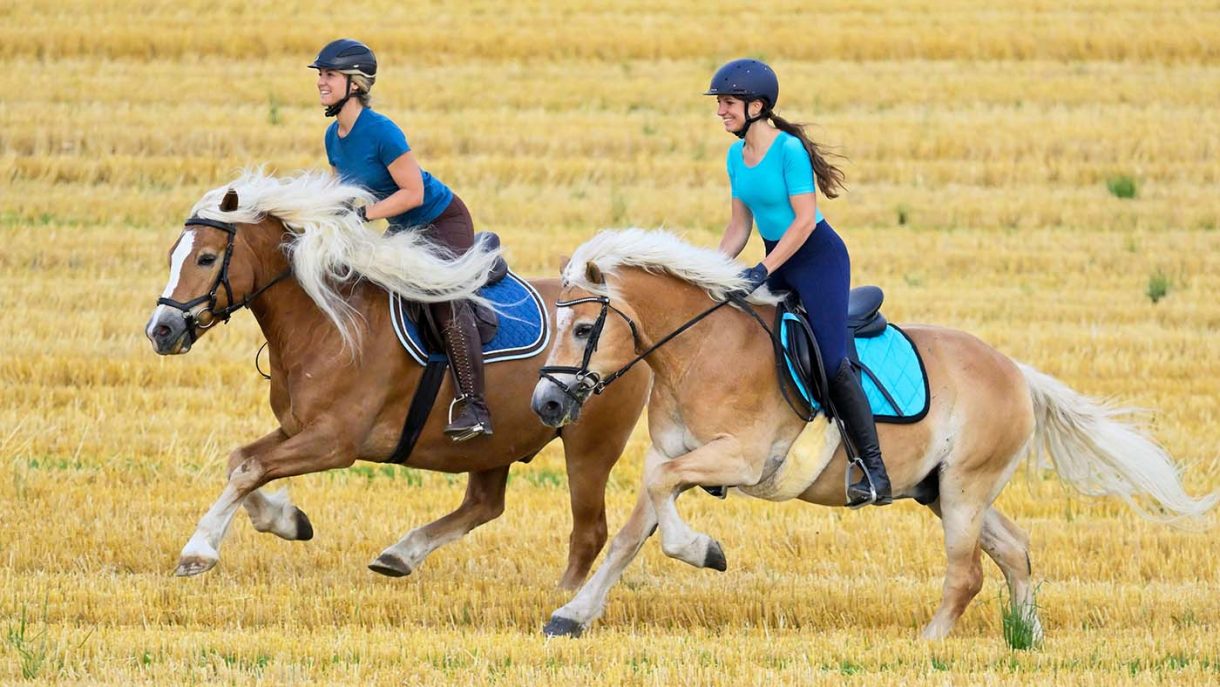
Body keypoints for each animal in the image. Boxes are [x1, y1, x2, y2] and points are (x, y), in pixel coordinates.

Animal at [143, 171, 649, 588]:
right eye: (170, 256)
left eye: (206, 258)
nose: (160, 330)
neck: (325, 323)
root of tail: (630, 318)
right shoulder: (297, 428)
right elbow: (241, 461)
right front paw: (287, 520)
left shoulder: (334, 441)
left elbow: (251, 470)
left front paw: (198, 550)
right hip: (499, 438)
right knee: (485, 504)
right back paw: (401, 554)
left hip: (589, 445)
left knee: (588, 530)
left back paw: (566, 597)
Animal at [529, 228, 1217, 639]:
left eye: (585, 328)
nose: (546, 402)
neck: (699, 350)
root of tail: (1016, 373)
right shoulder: (674, 455)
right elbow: (632, 530)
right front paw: (572, 614)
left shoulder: (740, 459)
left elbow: (661, 499)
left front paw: (705, 551)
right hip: (942, 490)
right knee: (1016, 552)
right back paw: (1028, 639)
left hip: (963, 489)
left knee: (967, 572)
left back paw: (929, 643)